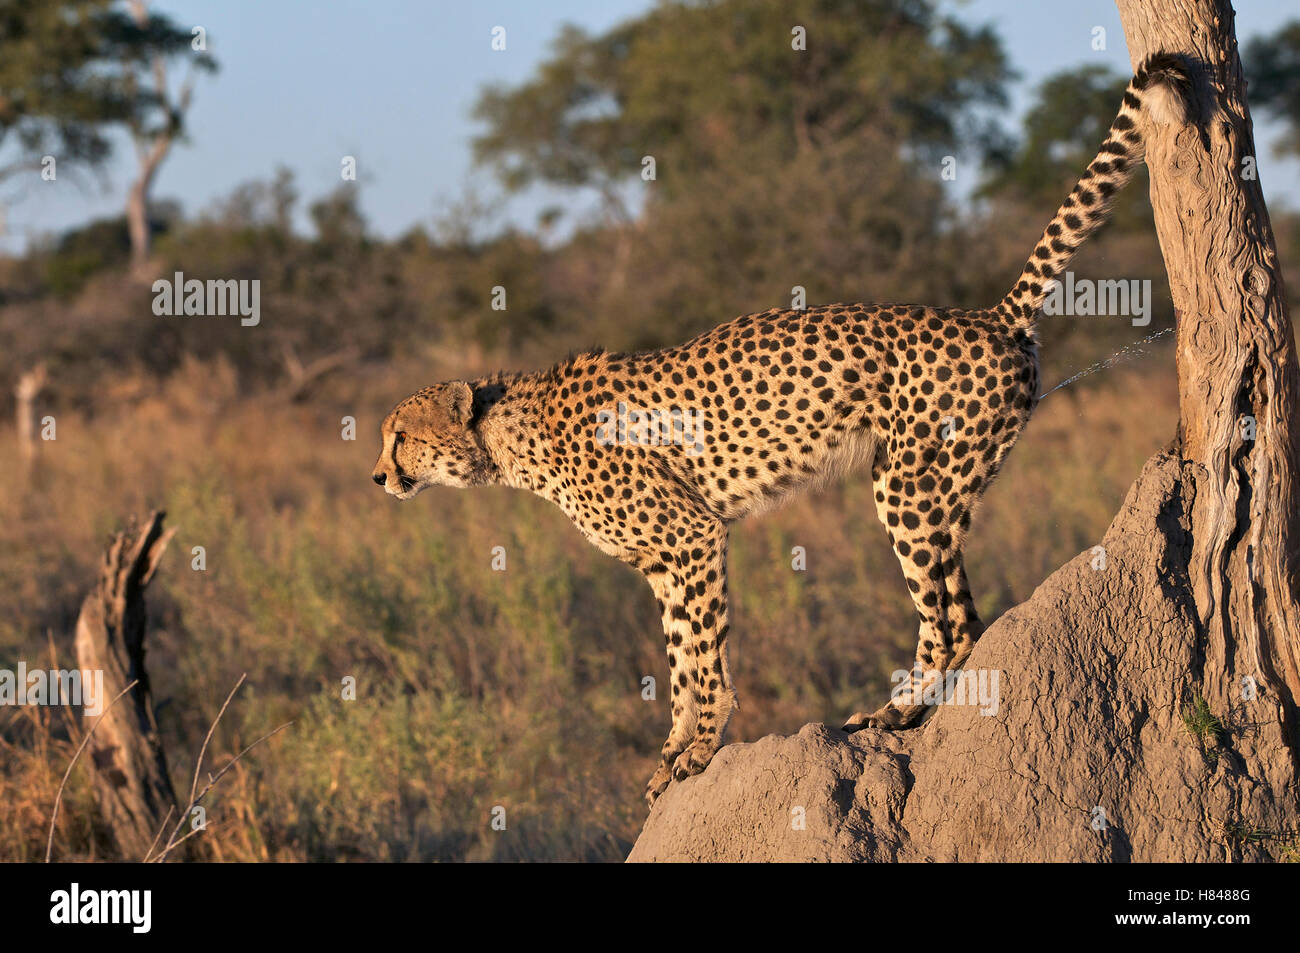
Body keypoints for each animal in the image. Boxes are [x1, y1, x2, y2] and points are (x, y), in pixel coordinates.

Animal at [372, 54, 1190, 807]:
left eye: (400, 435)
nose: (378, 476)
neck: (509, 436)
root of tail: (990, 316)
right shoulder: (665, 562)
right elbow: (679, 660)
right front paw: (671, 757)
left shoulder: (692, 537)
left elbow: (703, 659)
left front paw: (702, 750)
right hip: (942, 486)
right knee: (966, 612)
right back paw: (910, 715)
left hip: (908, 487)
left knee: (948, 621)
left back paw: (894, 714)